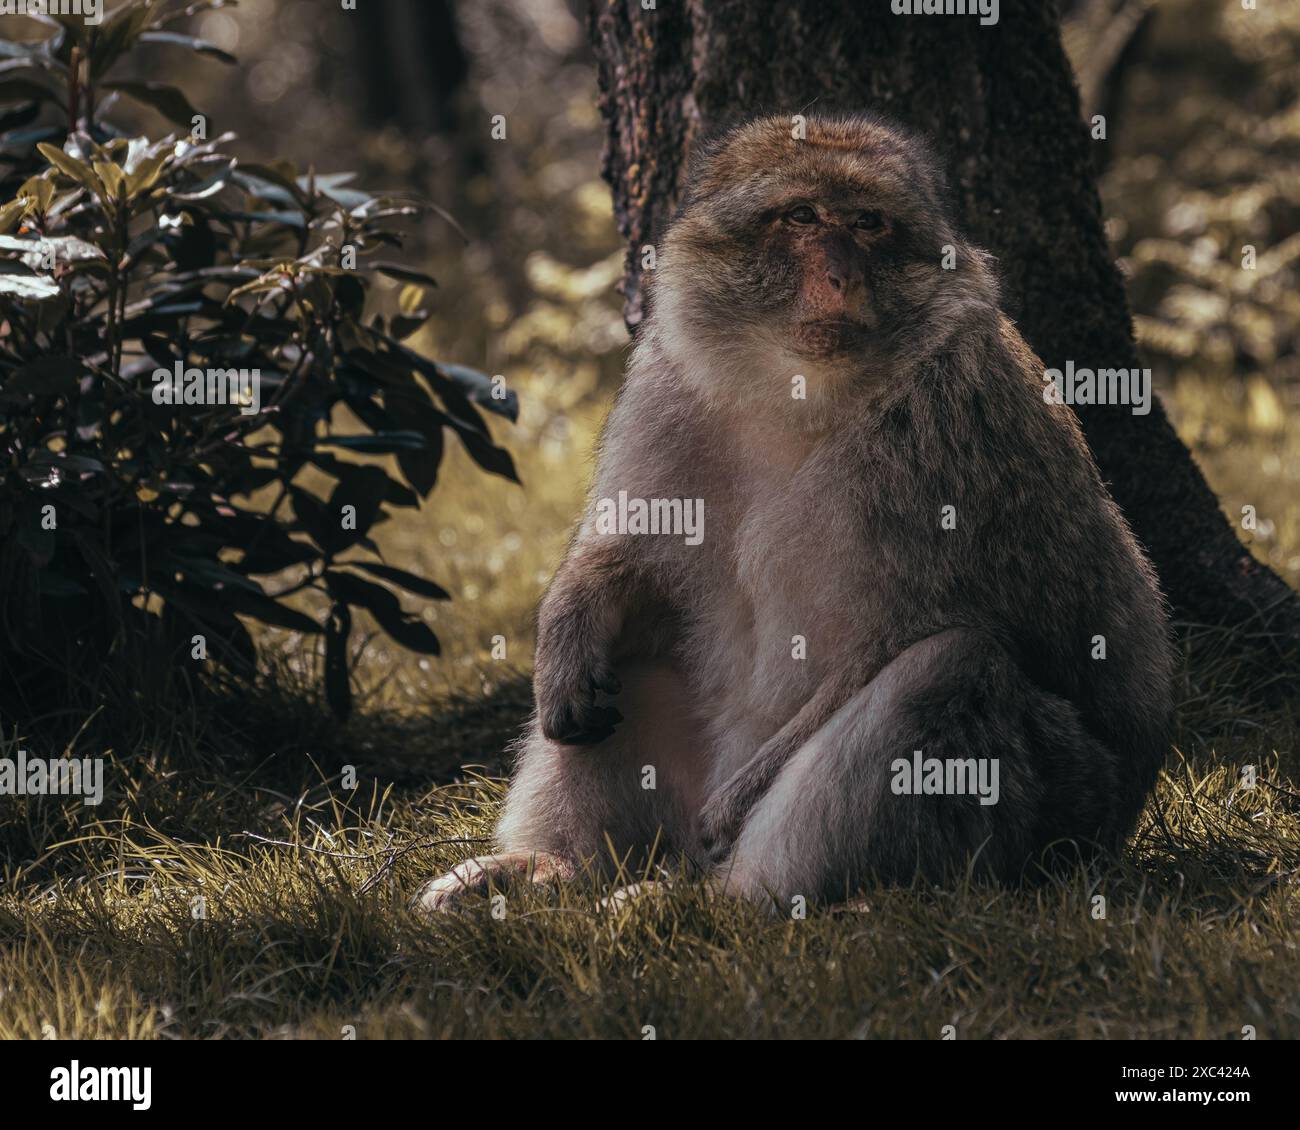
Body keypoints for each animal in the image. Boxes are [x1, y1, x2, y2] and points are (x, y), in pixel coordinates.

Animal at [412, 112, 1173, 914]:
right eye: (803, 216)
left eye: (868, 223)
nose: (840, 278)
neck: (799, 392)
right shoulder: (664, 384)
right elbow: (630, 552)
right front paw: (567, 623)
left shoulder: (945, 429)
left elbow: (896, 638)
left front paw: (741, 805)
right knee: (633, 653)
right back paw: (553, 868)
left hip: (1063, 813)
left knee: (953, 666)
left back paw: (724, 902)